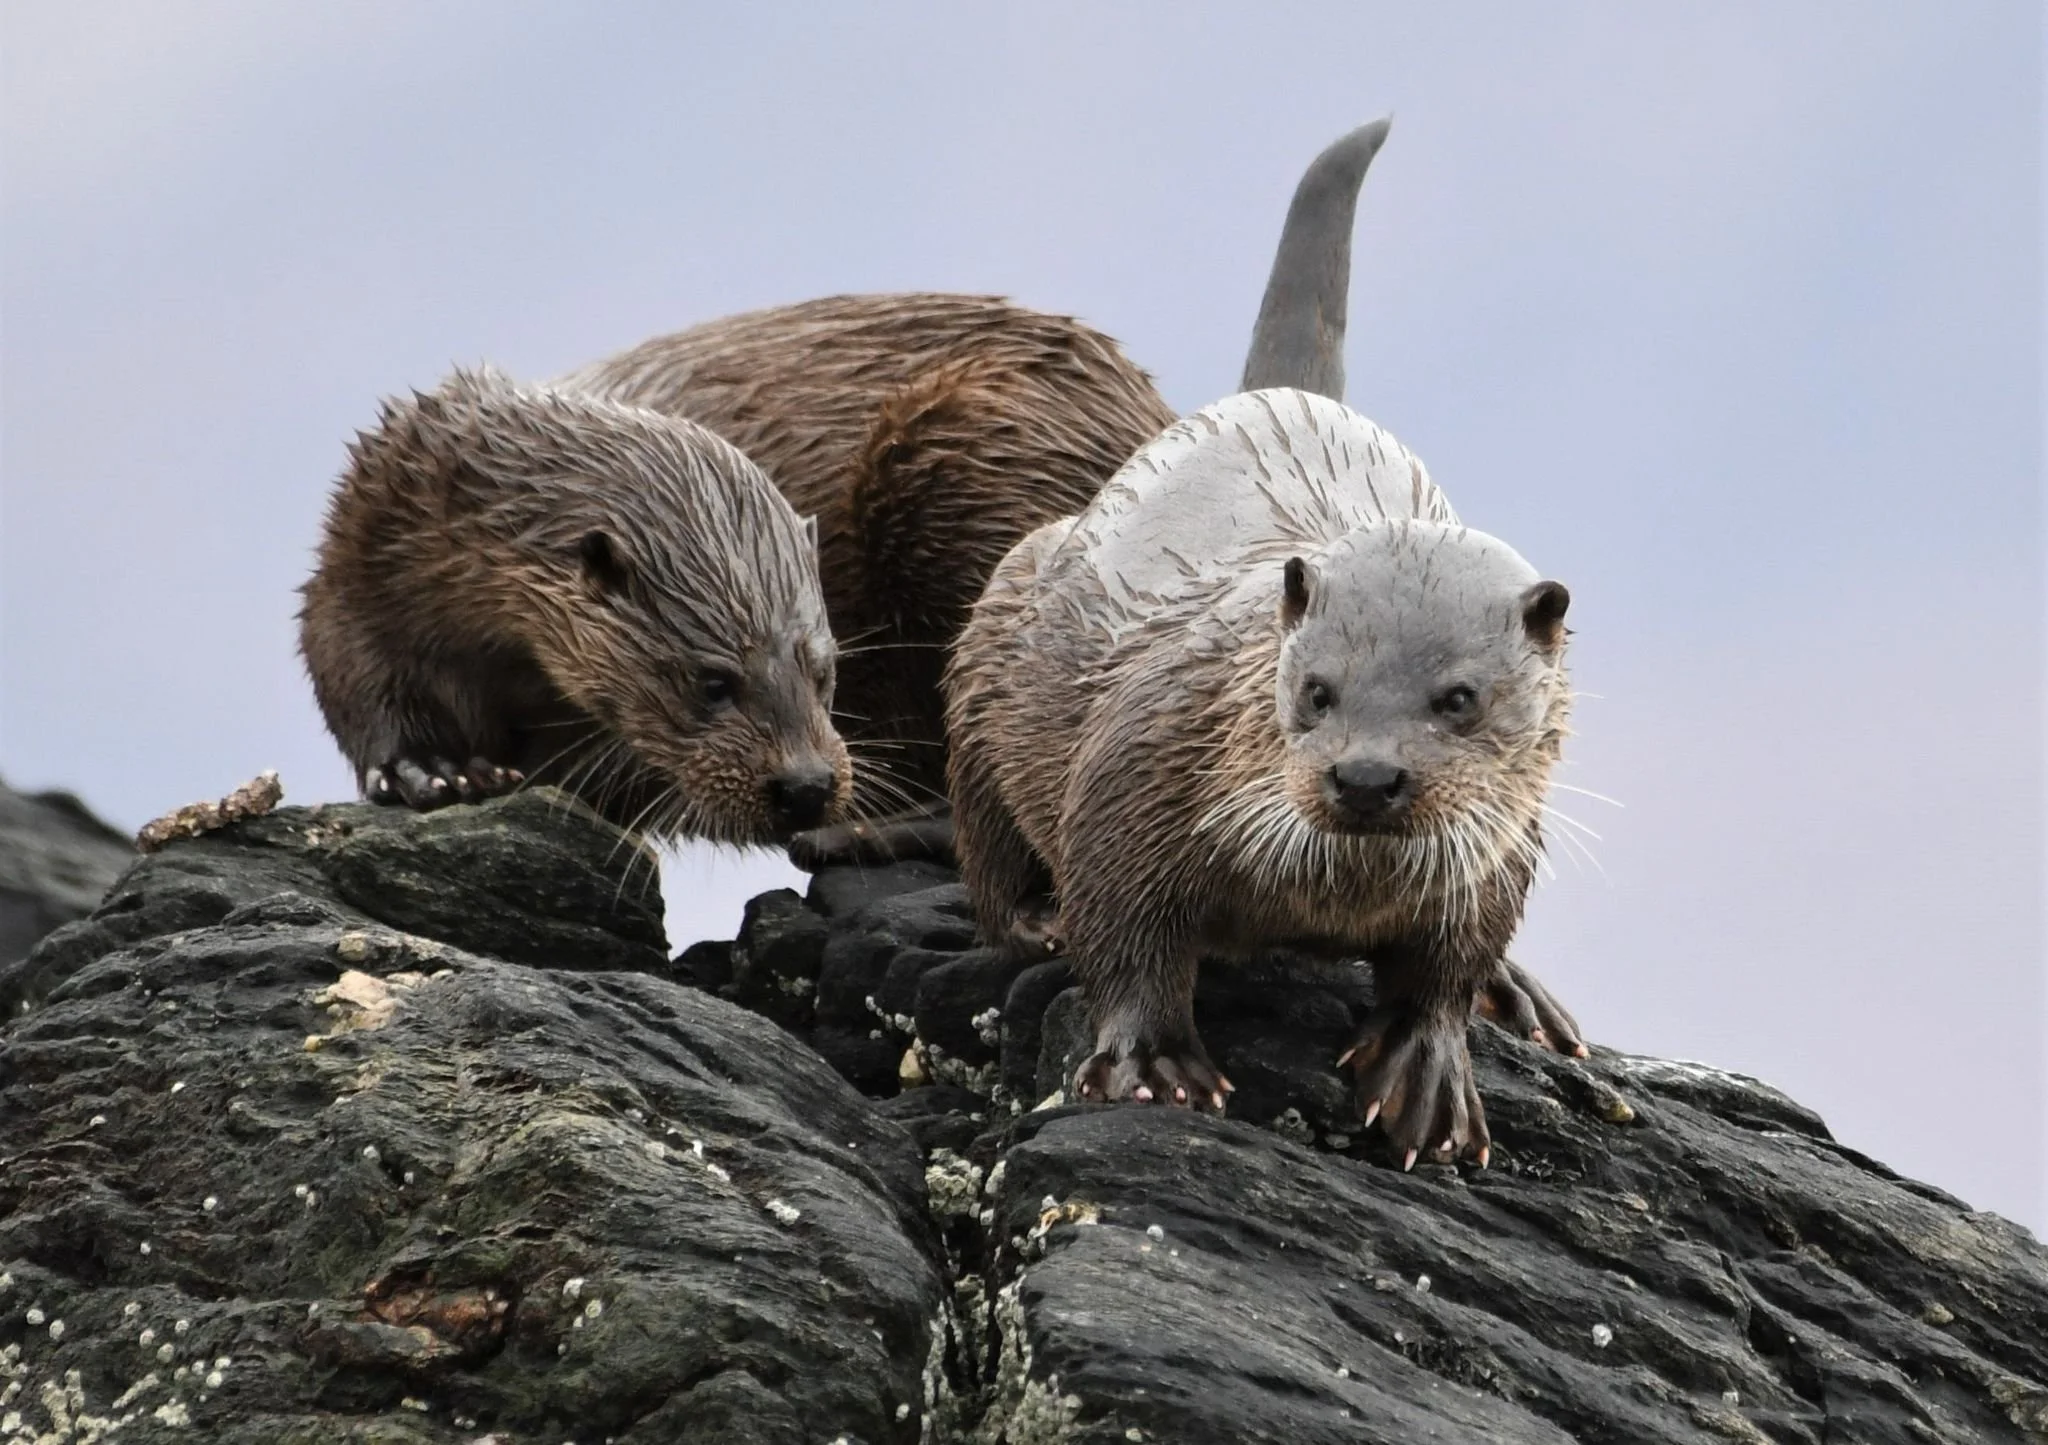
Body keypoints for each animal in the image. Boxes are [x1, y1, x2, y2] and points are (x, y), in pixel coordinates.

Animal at [299, 366, 850, 846]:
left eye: (823, 672)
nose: (806, 787)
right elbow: (355, 667)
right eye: (712, 684)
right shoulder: (364, 538)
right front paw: (433, 767)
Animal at [946, 387, 1581, 1167]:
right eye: (1316, 690)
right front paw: (1152, 1064)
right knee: (991, 854)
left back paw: (1520, 995)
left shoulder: (1507, 845)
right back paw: (1040, 920)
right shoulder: (1136, 766)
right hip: (996, 631)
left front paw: (1428, 1072)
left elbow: (1448, 964)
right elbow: (1124, 928)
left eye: (1460, 698)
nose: (1366, 775)